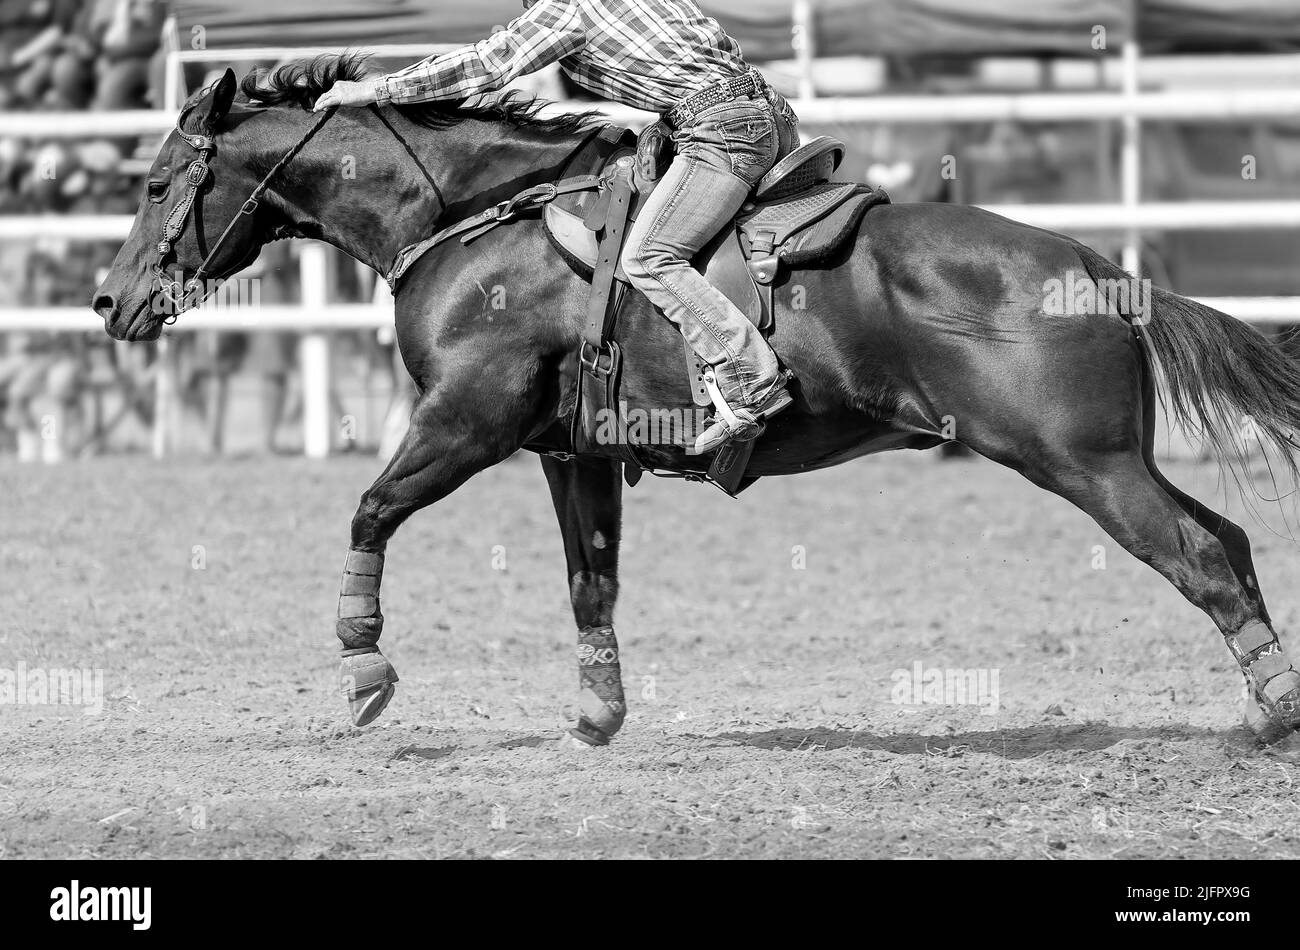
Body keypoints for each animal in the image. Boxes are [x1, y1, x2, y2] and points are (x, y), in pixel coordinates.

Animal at [92, 56, 1300, 747]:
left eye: (153, 182)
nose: (110, 298)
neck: (479, 221)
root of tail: (1098, 262)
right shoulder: (568, 450)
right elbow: (590, 580)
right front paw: (597, 715)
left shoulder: (466, 420)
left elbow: (370, 509)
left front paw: (364, 670)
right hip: (1115, 462)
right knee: (1229, 541)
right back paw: (1261, 706)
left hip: (1089, 466)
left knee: (1202, 555)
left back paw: (1271, 716)